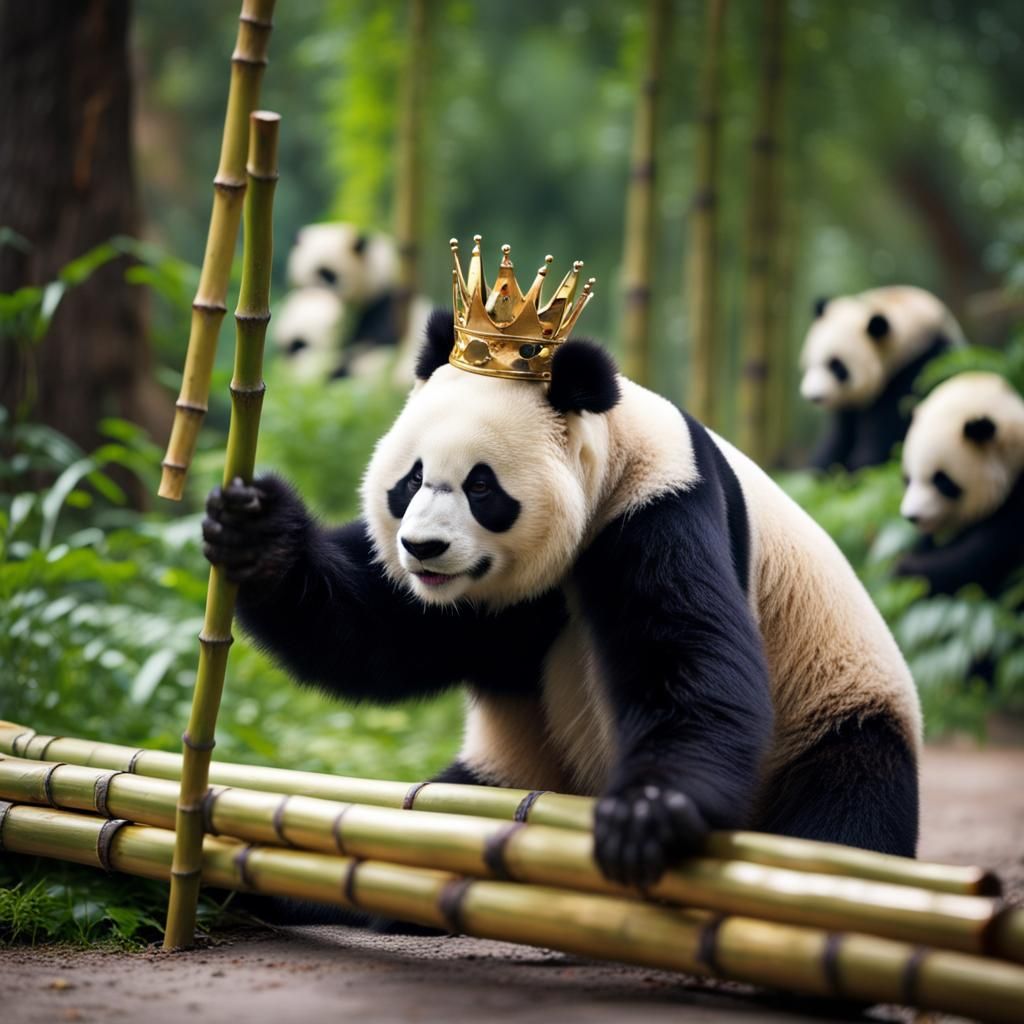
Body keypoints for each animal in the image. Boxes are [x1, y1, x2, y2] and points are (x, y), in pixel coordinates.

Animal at [204, 308, 922, 887]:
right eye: (409, 481)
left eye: (482, 487)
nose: (423, 549)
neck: (612, 441)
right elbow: (380, 630)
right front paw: (256, 534)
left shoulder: (660, 504)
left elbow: (684, 663)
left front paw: (645, 817)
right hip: (507, 771)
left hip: (832, 708)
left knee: (847, 808)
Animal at [800, 285, 965, 472]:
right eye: (813, 361)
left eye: (837, 367)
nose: (814, 396)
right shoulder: (848, 407)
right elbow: (838, 438)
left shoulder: (917, 373)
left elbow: (882, 441)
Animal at [897, 372, 1024, 596]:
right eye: (907, 479)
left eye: (941, 481)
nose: (912, 517)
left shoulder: (1016, 507)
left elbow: (977, 560)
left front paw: (906, 568)